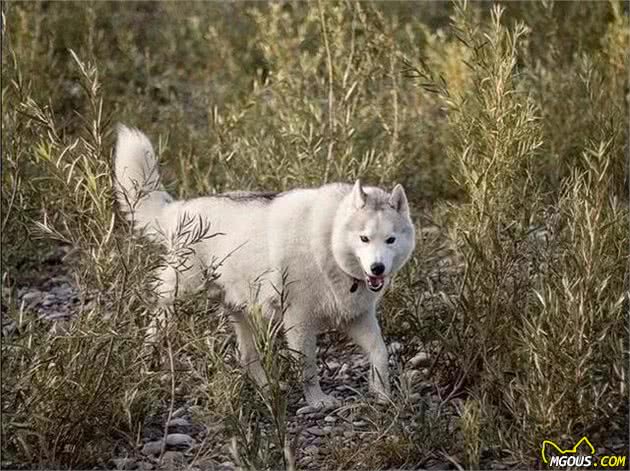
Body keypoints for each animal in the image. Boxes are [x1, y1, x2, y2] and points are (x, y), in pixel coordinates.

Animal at [116, 126, 418, 410]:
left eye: (390, 240)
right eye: (364, 238)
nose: (377, 268)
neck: (329, 242)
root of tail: (179, 209)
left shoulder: (357, 317)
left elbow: (380, 353)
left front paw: (382, 394)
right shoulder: (299, 321)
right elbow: (308, 368)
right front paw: (317, 401)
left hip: (245, 311)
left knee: (248, 358)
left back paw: (267, 390)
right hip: (178, 299)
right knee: (153, 330)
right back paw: (143, 365)